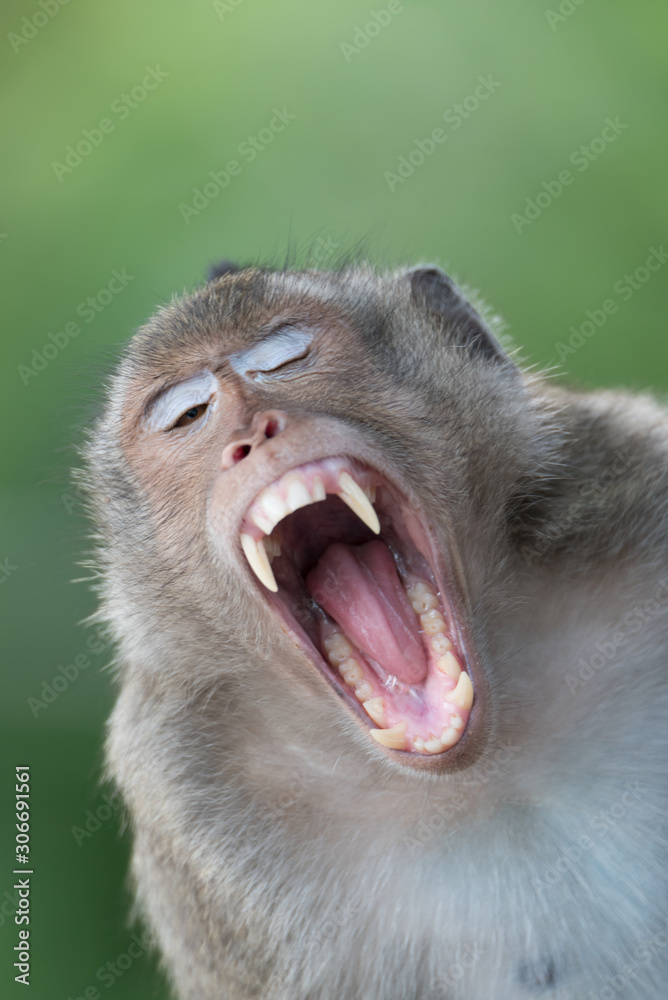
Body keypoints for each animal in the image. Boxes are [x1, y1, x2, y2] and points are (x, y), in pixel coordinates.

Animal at [79, 260, 668, 999]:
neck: (480, 769)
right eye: (188, 416)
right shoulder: (188, 791)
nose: (255, 435)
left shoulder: (635, 489)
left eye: (287, 360)